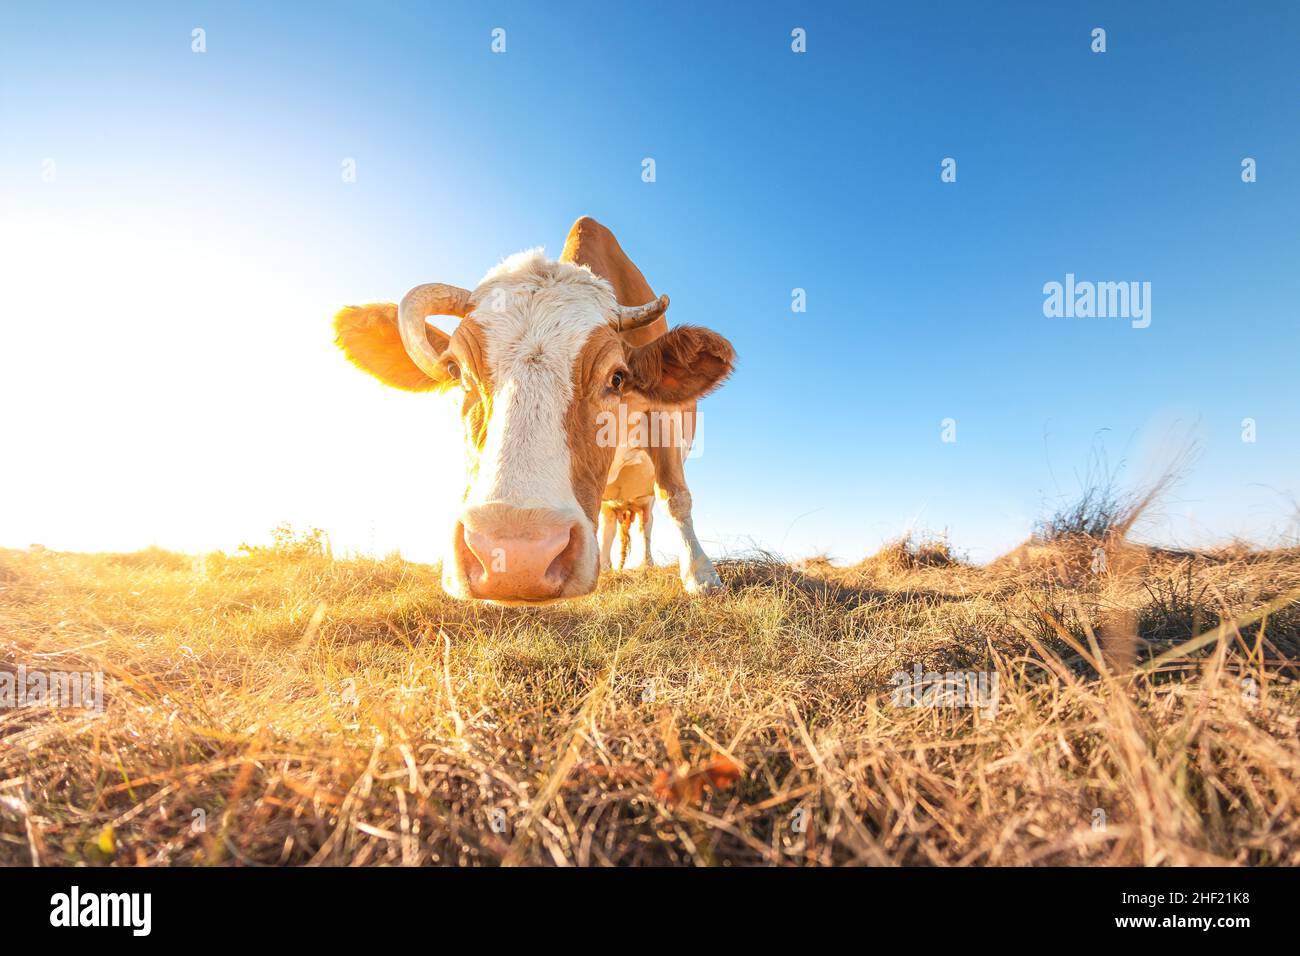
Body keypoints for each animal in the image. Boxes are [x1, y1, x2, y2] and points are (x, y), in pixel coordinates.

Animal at [332, 217, 734, 604]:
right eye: (455, 370)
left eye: (617, 377)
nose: (516, 557)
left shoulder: (664, 421)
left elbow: (676, 496)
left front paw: (701, 575)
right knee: (608, 524)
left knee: (645, 522)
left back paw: (643, 563)